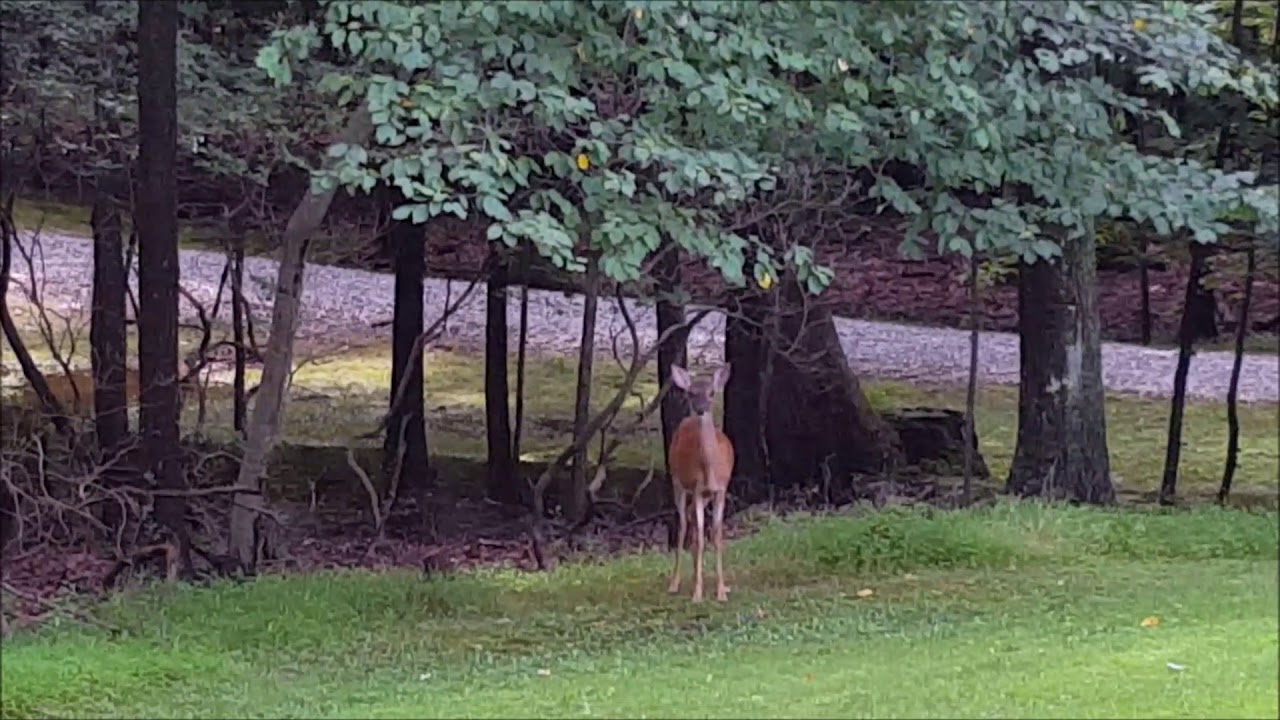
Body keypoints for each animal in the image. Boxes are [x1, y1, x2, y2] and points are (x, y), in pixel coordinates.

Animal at [666, 363, 735, 603]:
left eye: (712, 393)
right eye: (691, 393)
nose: (701, 409)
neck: (710, 471)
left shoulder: (721, 490)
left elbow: (716, 535)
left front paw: (721, 591)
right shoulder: (696, 489)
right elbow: (702, 537)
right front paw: (697, 593)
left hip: (704, 496)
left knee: (692, 522)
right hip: (677, 481)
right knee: (684, 524)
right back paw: (675, 583)